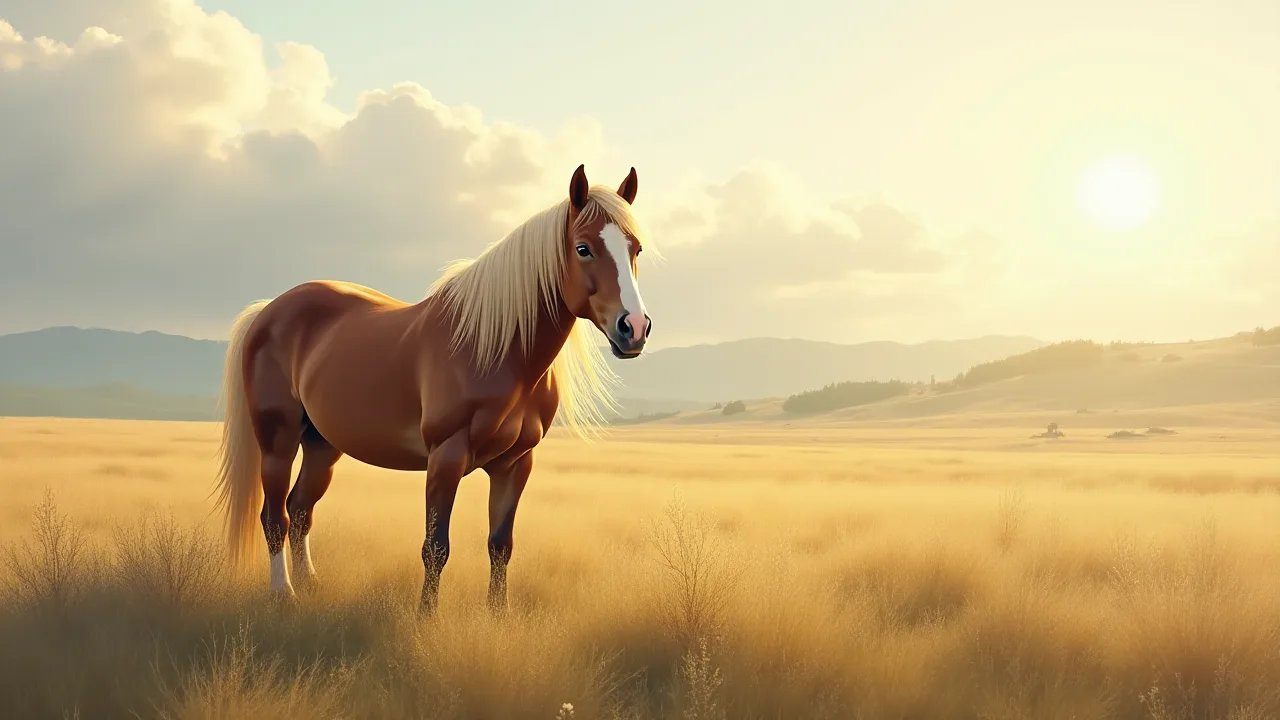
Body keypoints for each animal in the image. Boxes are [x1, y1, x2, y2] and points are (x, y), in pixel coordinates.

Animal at [212, 164, 657, 612]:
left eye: (635, 249)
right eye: (583, 248)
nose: (634, 329)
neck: (494, 348)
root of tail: (268, 310)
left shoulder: (516, 463)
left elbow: (501, 545)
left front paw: (499, 615)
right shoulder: (446, 457)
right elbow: (436, 546)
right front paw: (426, 616)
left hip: (322, 443)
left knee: (301, 509)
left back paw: (310, 585)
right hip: (278, 440)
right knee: (275, 516)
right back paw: (282, 592)